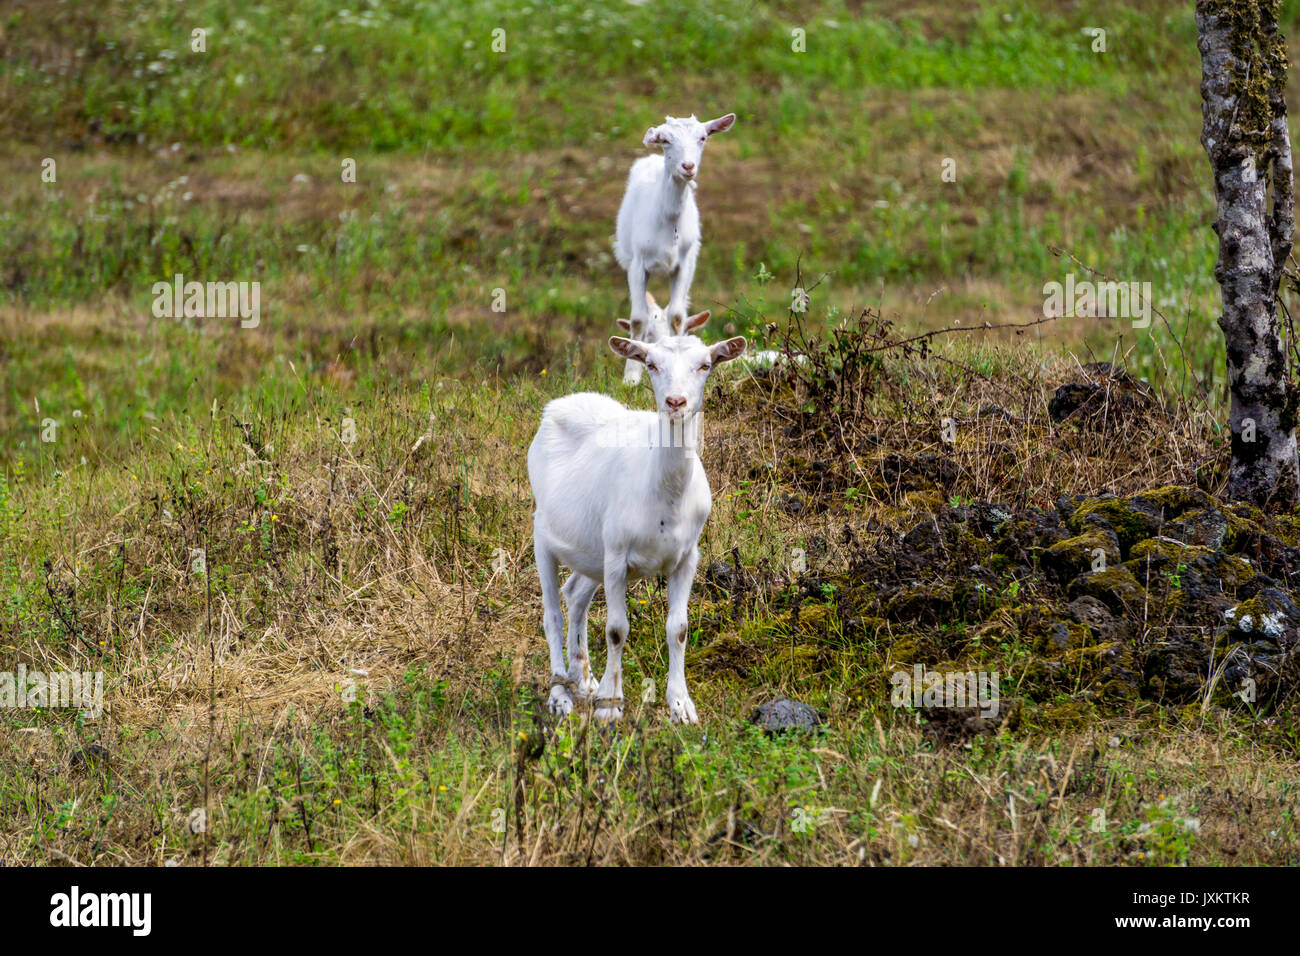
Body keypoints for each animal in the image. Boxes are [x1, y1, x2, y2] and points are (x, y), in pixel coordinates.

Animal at [527, 317, 747, 723]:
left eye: (705, 365)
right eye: (651, 364)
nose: (675, 402)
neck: (665, 498)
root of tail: (560, 403)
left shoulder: (687, 557)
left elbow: (679, 628)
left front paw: (681, 705)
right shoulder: (616, 556)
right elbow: (616, 629)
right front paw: (611, 706)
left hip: (590, 549)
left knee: (575, 595)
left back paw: (583, 679)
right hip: (543, 534)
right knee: (552, 613)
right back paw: (560, 695)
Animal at [613, 112, 736, 384]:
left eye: (703, 138)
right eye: (666, 140)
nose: (688, 167)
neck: (668, 223)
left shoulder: (684, 265)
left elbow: (678, 317)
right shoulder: (637, 264)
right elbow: (638, 319)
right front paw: (631, 379)